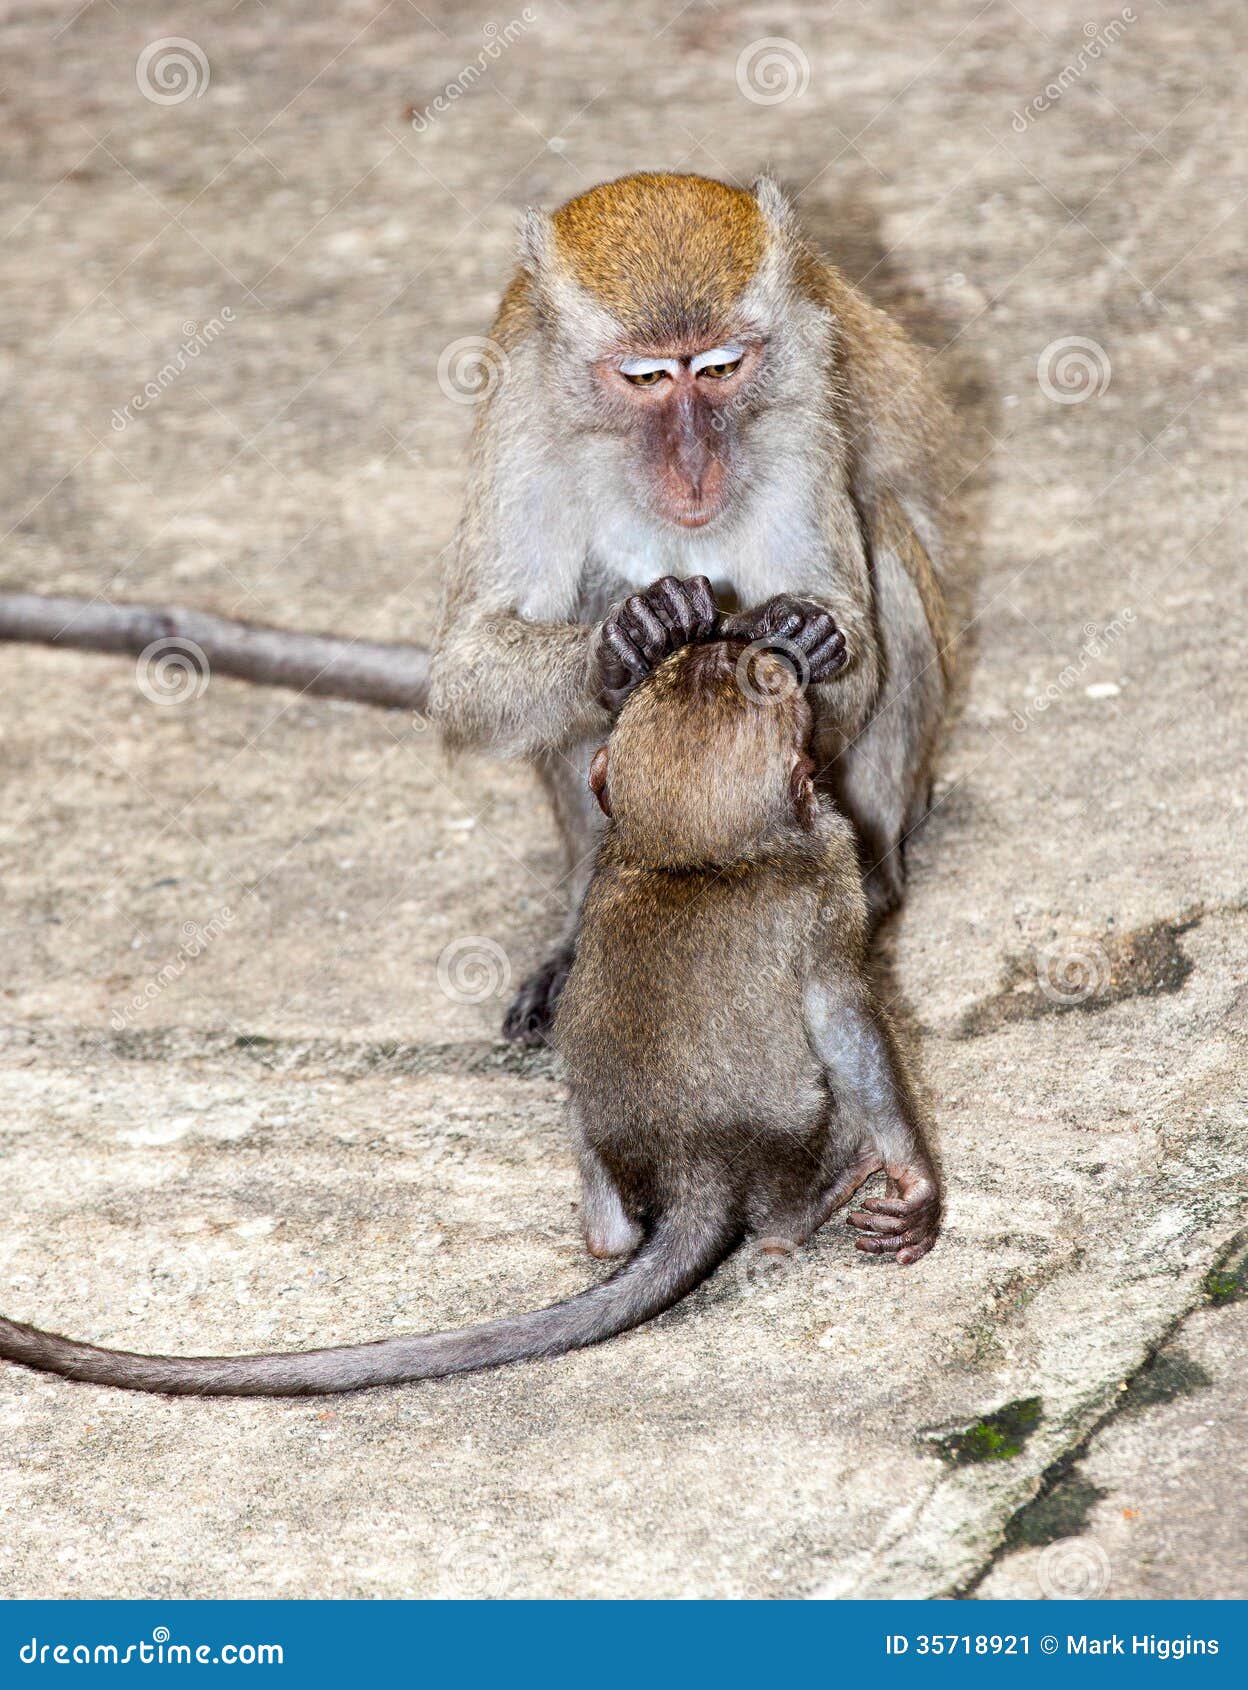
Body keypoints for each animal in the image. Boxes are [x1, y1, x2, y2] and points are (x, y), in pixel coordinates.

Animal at [0, 639, 939, 1397]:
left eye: (692, 666)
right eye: (762, 680)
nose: (745, 641)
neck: (691, 856)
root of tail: (691, 1174)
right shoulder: (831, 878)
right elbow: (848, 1020)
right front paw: (918, 1188)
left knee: (596, 1185)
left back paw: (606, 1228)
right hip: (791, 1145)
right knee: (782, 1218)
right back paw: (833, 1189)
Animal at [429, 169, 955, 1044]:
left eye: (717, 369)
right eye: (645, 378)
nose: (694, 461)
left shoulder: (803, 388)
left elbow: (853, 636)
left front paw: (804, 636)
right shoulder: (523, 406)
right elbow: (467, 669)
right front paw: (624, 640)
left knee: (881, 529)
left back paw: (869, 878)